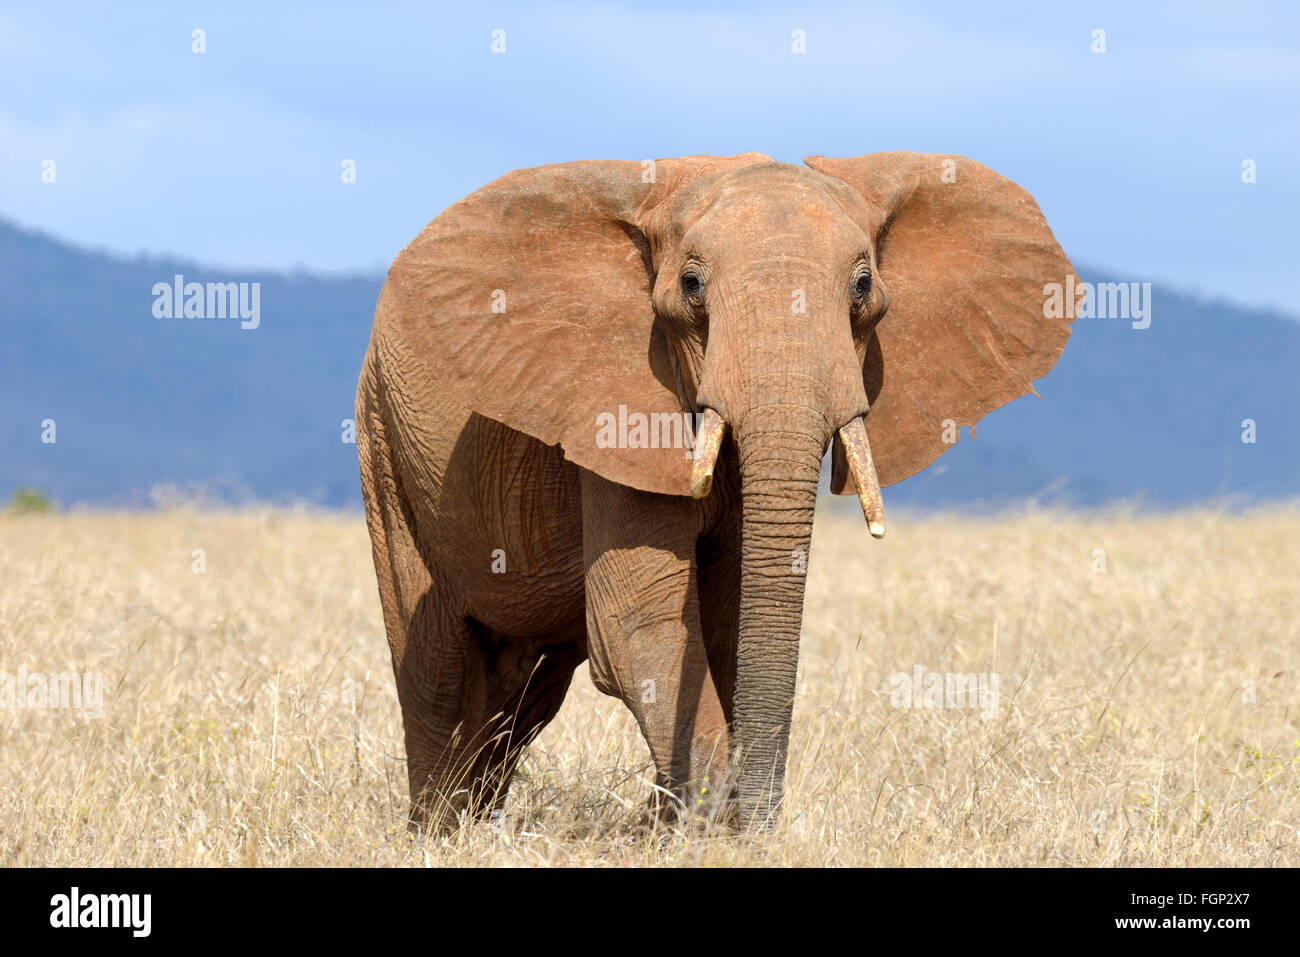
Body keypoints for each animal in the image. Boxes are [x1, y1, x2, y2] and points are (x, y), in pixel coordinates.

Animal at [355, 152, 1075, 832]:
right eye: (692, 287)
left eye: (863, 286)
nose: (761, 821)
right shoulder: (616, 406)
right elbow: (638, 622)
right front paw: (712, 832)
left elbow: (730, 622)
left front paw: (695, 827)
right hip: (383, 439)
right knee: (436, 669)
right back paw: (437, 833)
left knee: (524, 689)